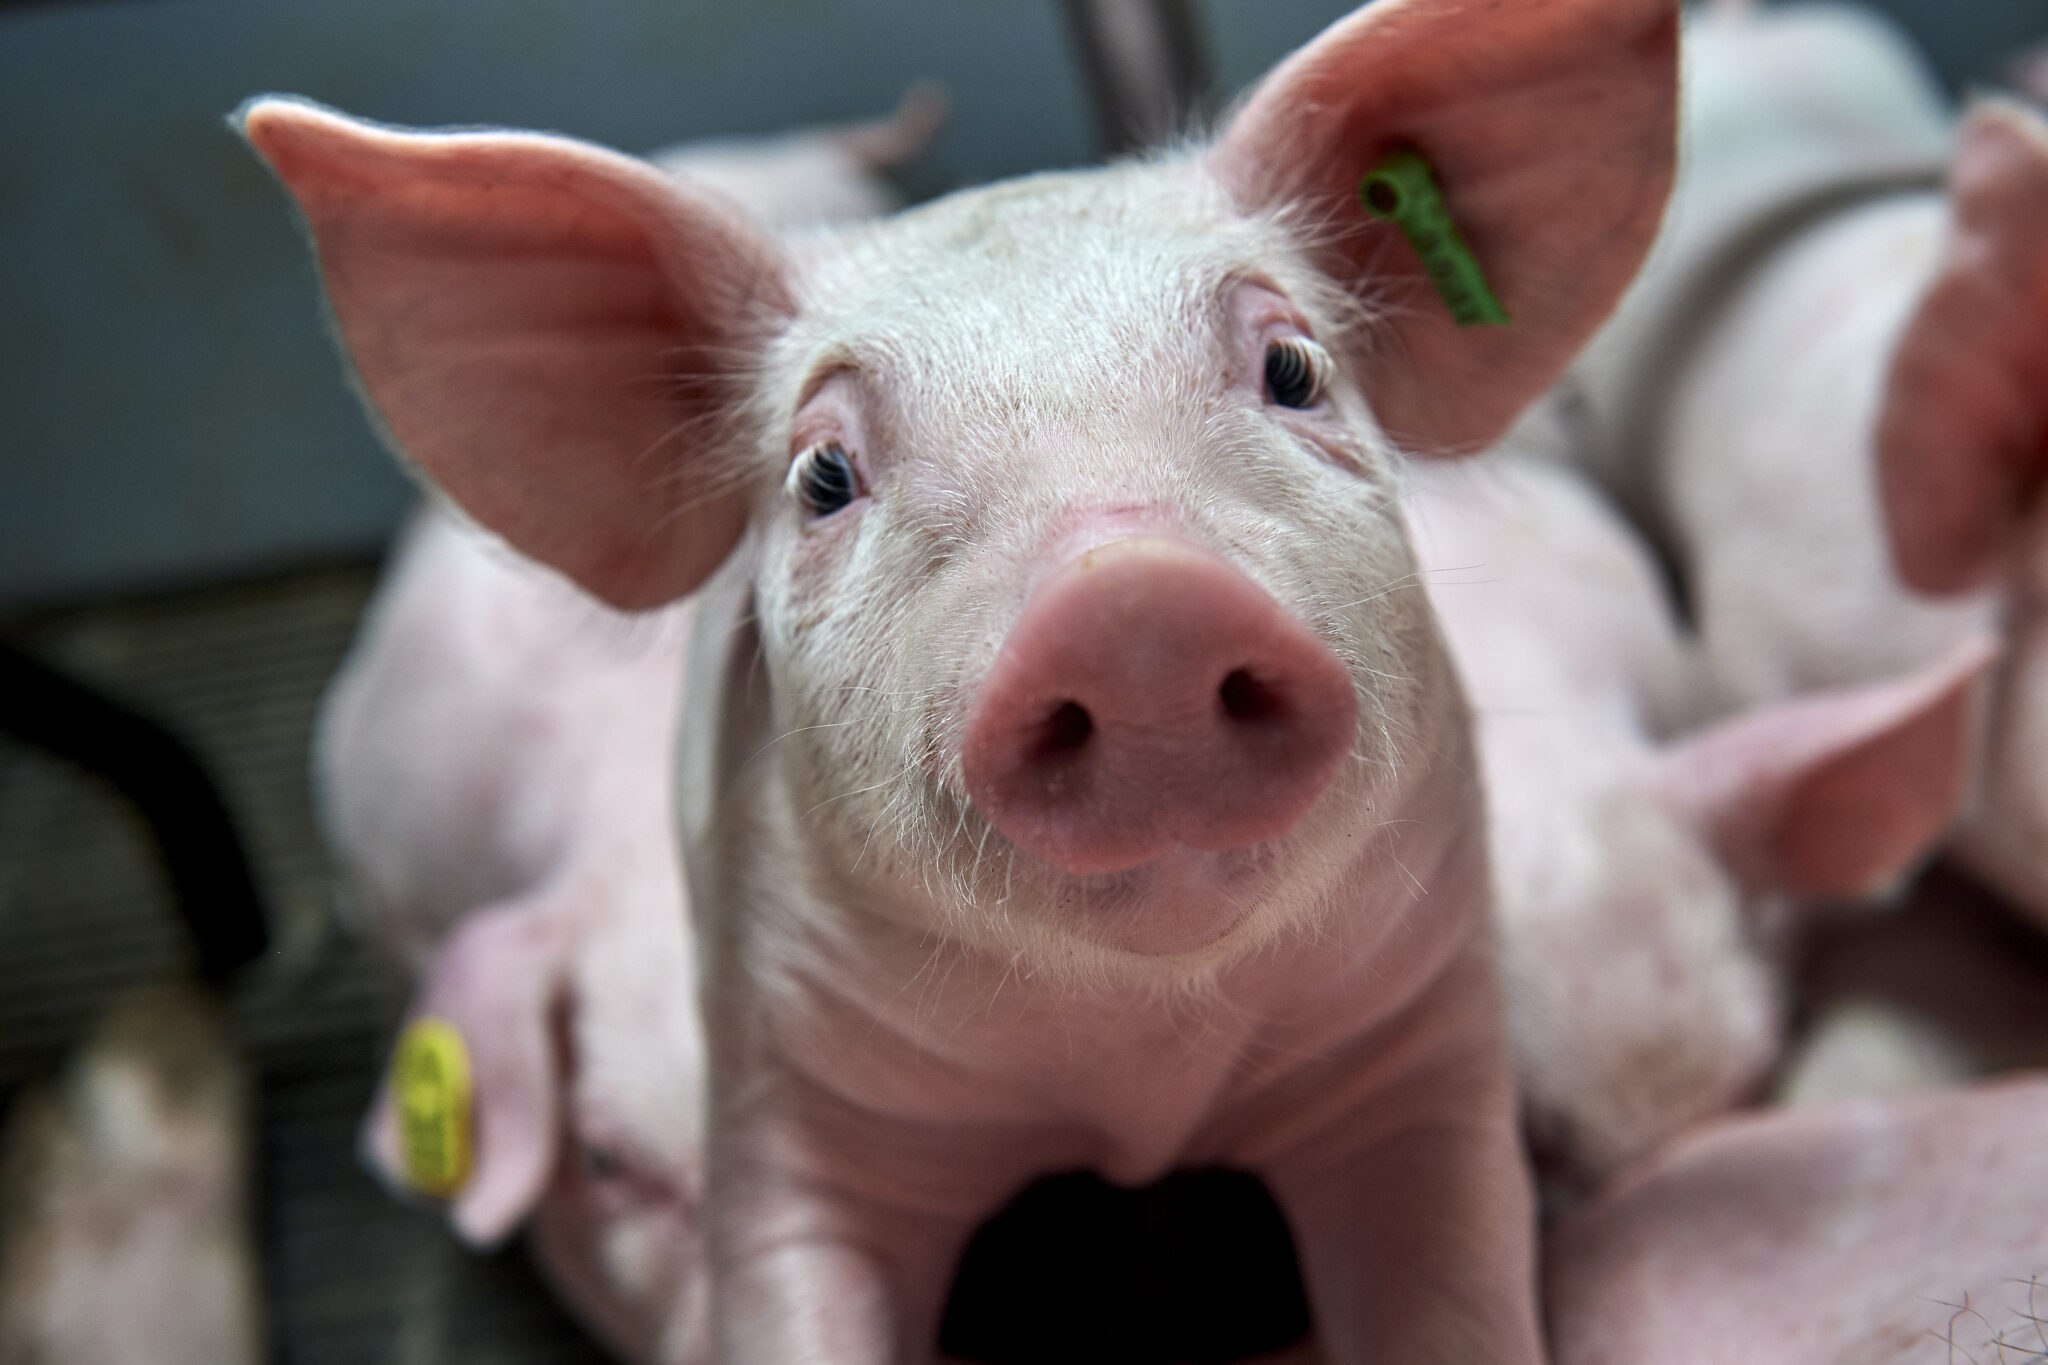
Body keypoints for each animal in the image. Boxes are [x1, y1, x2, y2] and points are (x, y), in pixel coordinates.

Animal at [246, 0, 1682, 1359]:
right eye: (824, 475)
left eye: (1293, 370)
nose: (1129, 599)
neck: (1134, 1079)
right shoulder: (781, 1081)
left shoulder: (1416, 1043)